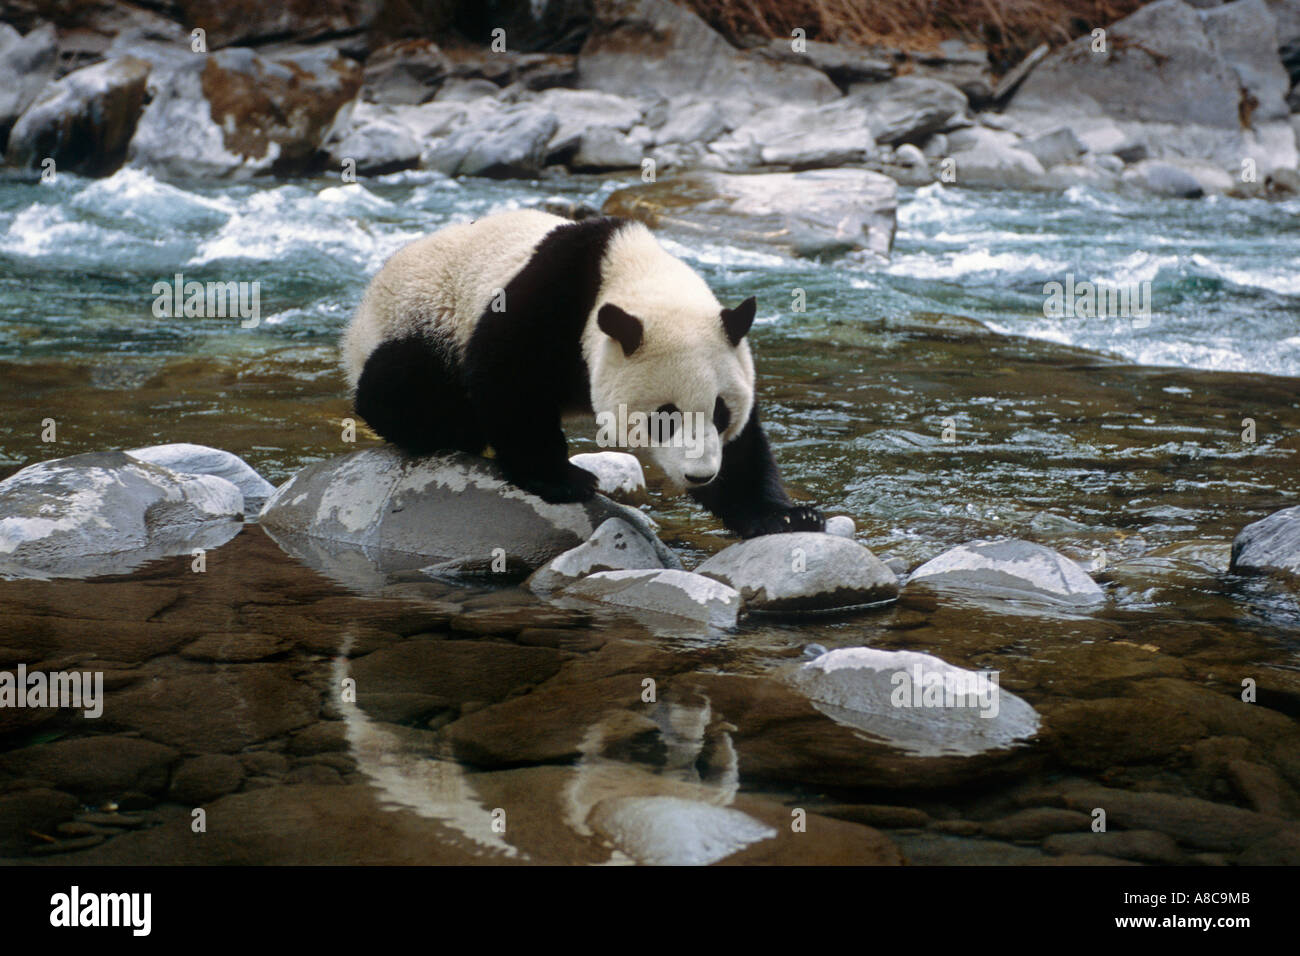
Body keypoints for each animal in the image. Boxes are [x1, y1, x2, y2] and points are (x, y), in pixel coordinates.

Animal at [340, 208, 823, 539]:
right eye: (665, 416)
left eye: (721, 413)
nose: (700, 475)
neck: (625, 270)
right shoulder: (547, 301)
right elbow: (508, 380)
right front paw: (564, 479)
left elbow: (744, 451)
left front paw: (786, 515)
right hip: (425, 316)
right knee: (403, 386)